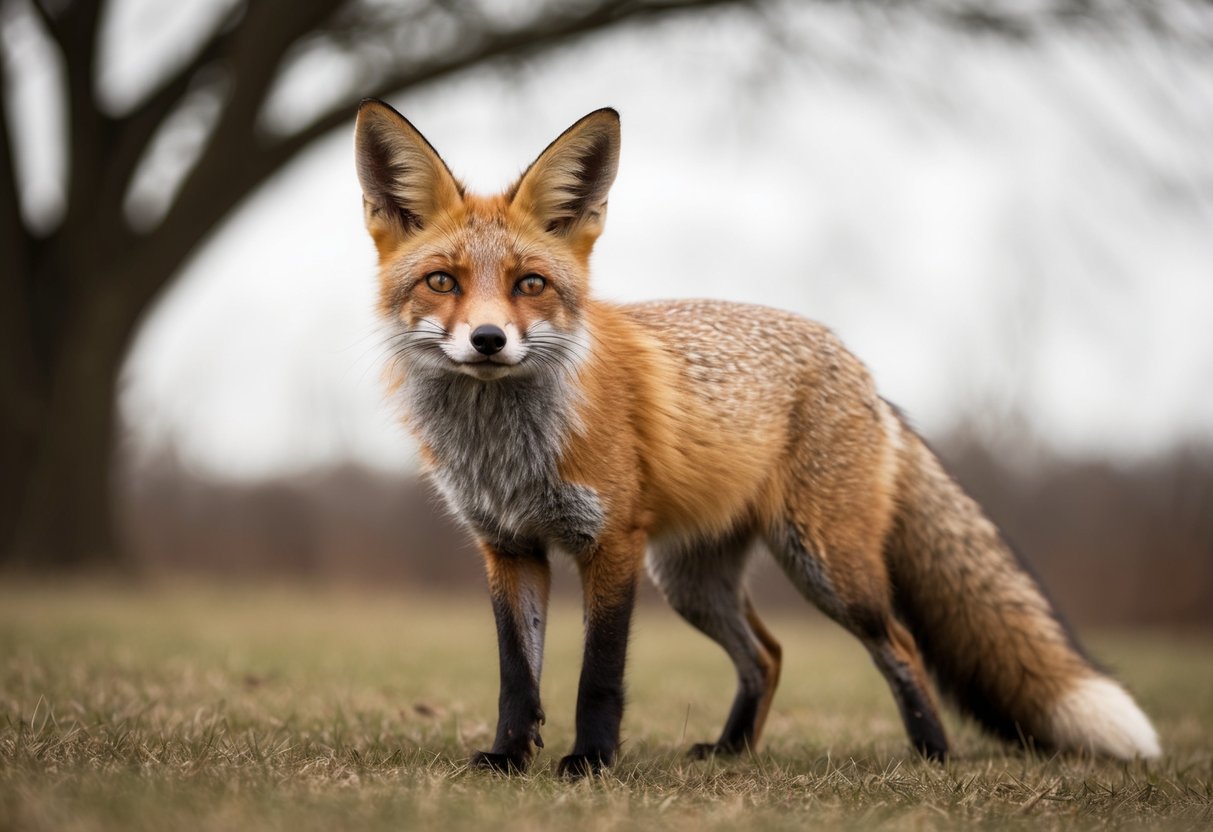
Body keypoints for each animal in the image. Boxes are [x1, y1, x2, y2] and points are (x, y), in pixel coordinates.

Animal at [353, 98, 1161, 777]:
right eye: (442, 282)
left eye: (529, 285)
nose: (488, 341)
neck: (504, 447)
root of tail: (860, 368)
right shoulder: (508, 546)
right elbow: (517, 676)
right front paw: (509, 758)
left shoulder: (610, 541)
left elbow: (598, 676)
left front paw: (591, 763)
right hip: (692, 582)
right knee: (767, 655)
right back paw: (732, 751)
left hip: (826, 567)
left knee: (898, 645)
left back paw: (933, 754)